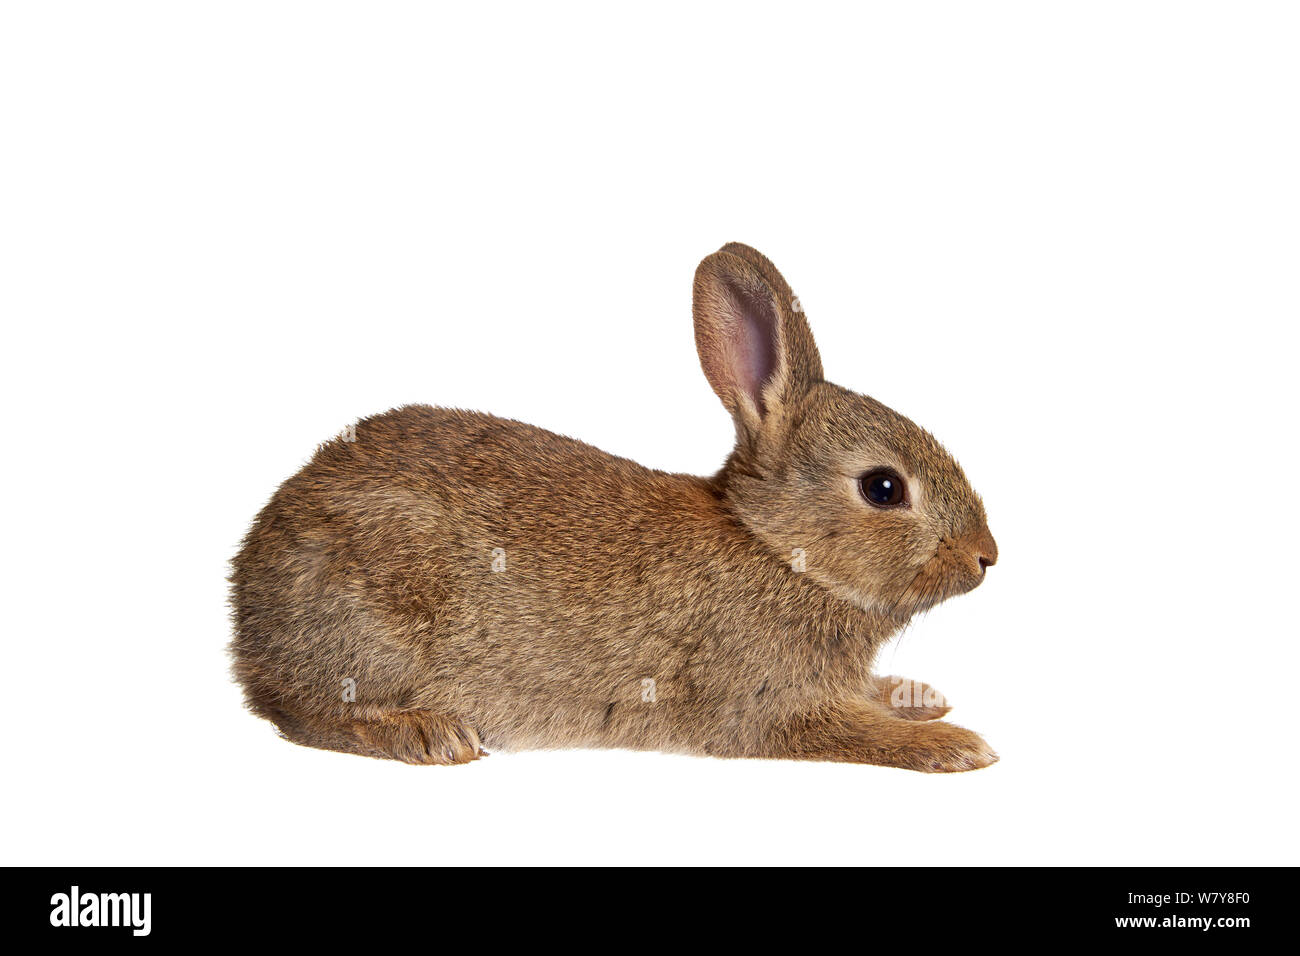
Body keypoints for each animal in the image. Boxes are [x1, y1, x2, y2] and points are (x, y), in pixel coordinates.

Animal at [229, 242, 999, 772]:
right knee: (303, 713)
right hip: (369, 618)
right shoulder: (766, 707)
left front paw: (917, 695)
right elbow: (851, 730)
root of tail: (246, 602)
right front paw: (957, 744)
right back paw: (429, 734)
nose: (986, 557)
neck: (781, 553)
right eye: (884, 488)